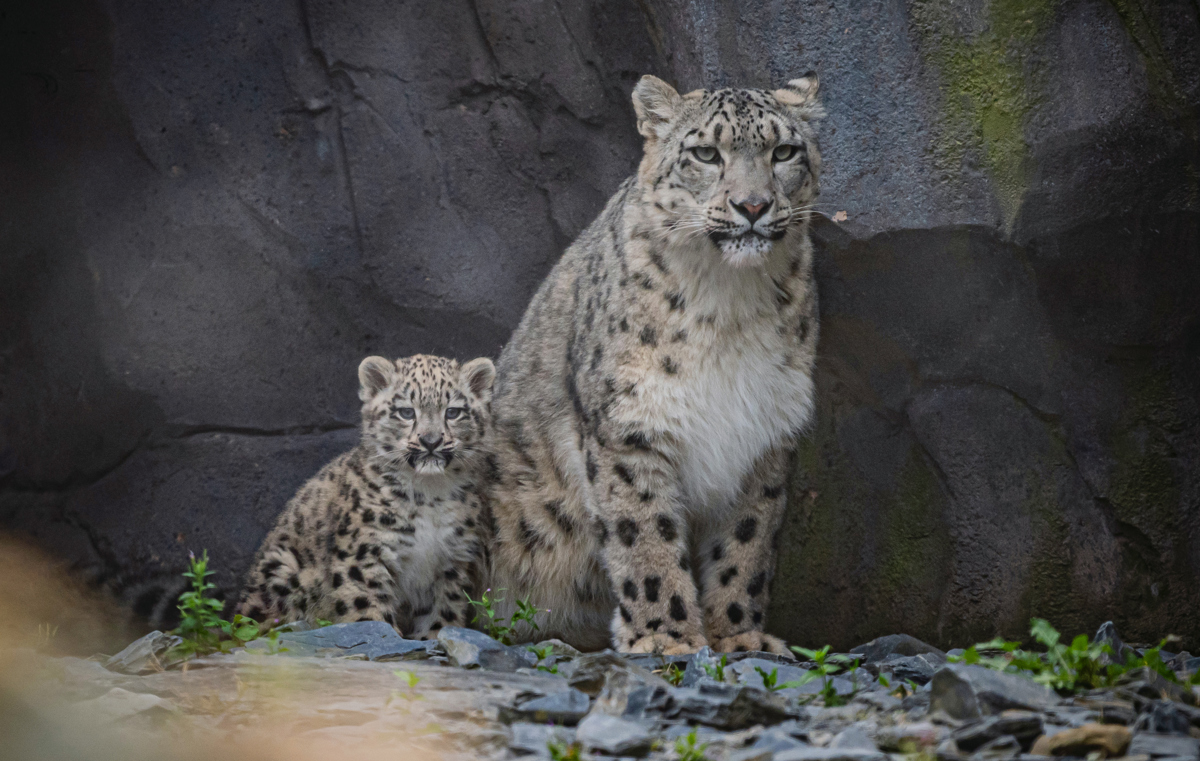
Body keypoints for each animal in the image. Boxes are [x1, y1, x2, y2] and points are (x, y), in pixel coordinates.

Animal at [237, 353, 496, 638]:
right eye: (406, 412)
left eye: (453, 412)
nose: (430, 441)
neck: (430, 492)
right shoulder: (364, 554)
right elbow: (367, 609)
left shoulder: (451, 561)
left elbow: (442, 615)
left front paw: (432, 637)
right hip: (282, 570)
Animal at [485, 73, 824, 655]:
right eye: (706, 153)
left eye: (783, 151)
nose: (753, 206)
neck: (729, 304)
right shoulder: (630, 424)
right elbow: (644, 534)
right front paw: (667, 638)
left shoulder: (766, 428)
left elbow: (747, 543)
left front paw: (740, 636)